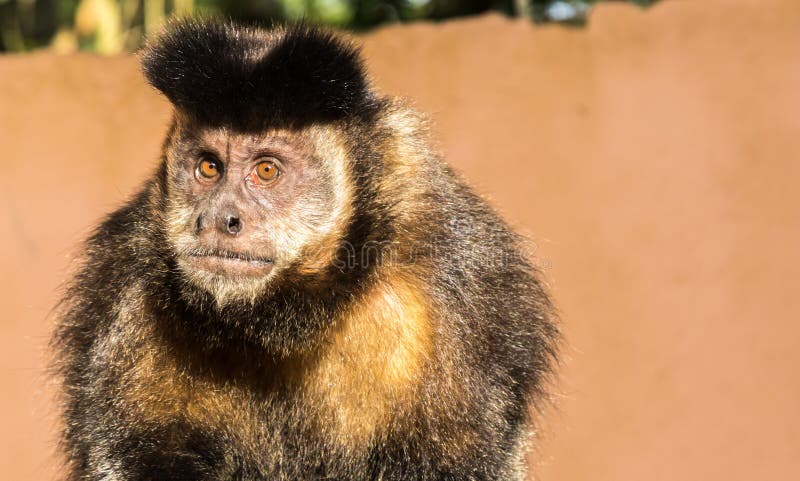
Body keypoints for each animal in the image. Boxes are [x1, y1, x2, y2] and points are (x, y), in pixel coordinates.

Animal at [51, 19, 558, 481]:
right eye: (209, 167)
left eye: (267, 170)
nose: (218, 218)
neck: (293, 316)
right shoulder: (127, 285)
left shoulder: (462, 292)